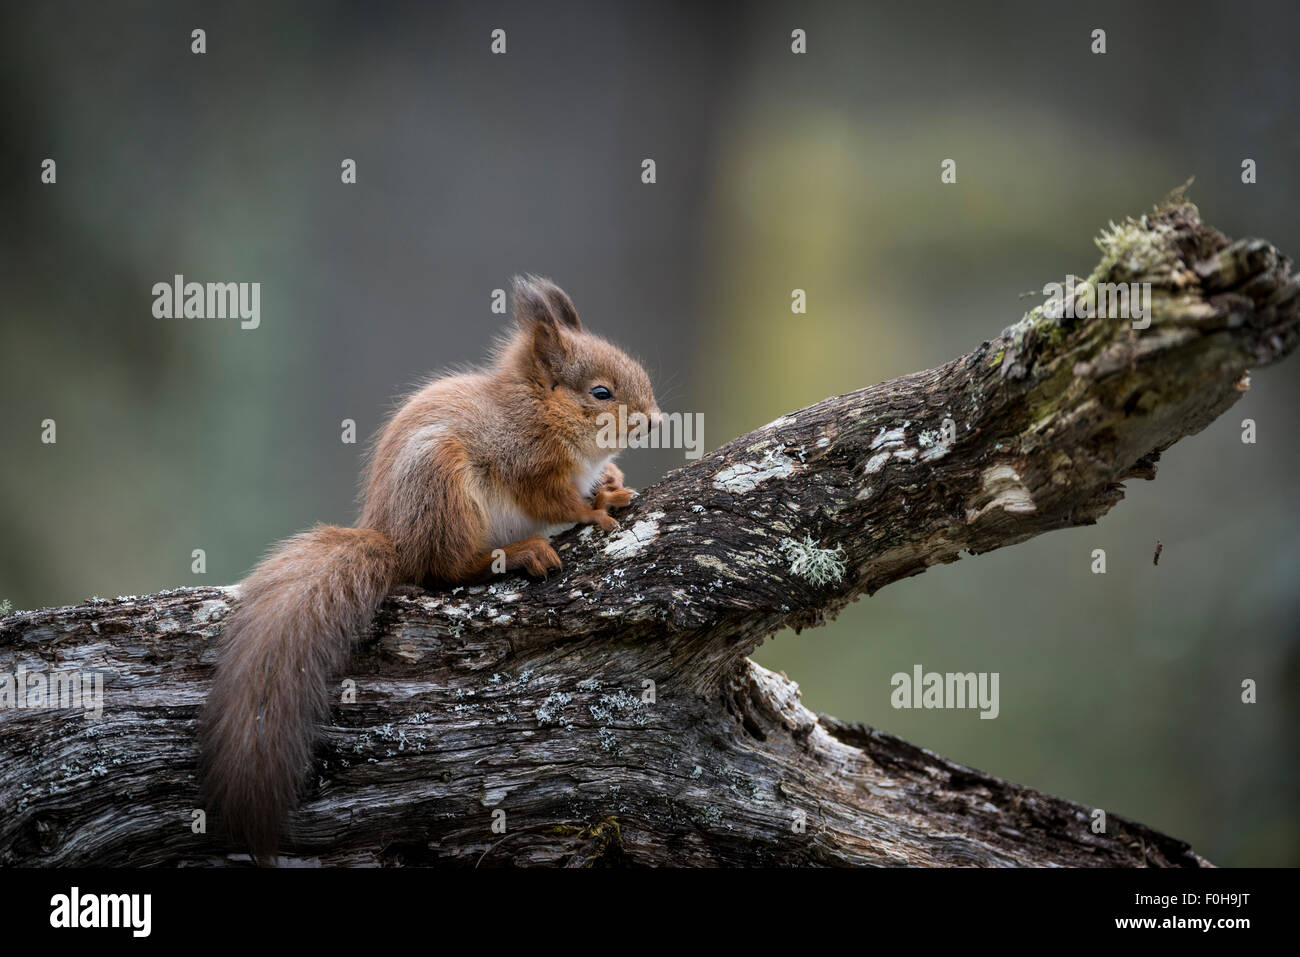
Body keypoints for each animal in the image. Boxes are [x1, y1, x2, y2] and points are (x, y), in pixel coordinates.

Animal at [198, 275, 661, 860]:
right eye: (601, 393)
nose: (657, 422)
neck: (536, 410)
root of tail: (394, 539)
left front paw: (612, 483)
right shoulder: (526, 463)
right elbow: (555, 502)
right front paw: (594, 509)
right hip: (443, 485)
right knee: (449, 568)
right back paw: (519, 554)